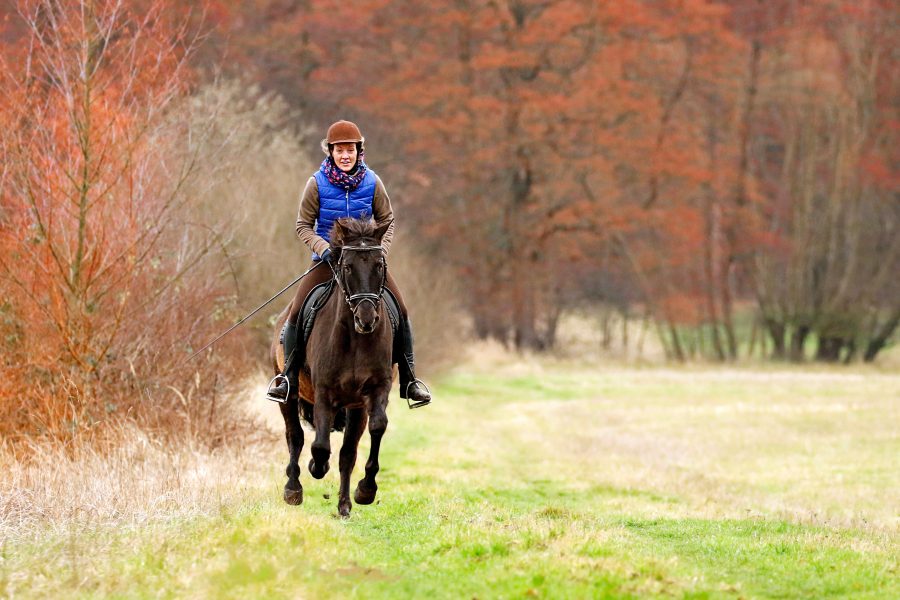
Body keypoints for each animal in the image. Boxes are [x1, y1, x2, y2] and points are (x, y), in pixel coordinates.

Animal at [270, 217, 394, 517]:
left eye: (379, 265)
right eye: (347, 266)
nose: (366, 318)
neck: (355, 339)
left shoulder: (373, 392)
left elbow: (374, 430)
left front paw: (365, 491)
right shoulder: (324, 392)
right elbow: (319, 445)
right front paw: (317, 467)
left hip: (353, 407)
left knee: (346, 452)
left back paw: (344, 504)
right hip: (287, 394)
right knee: (296, 436)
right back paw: (293, 488)